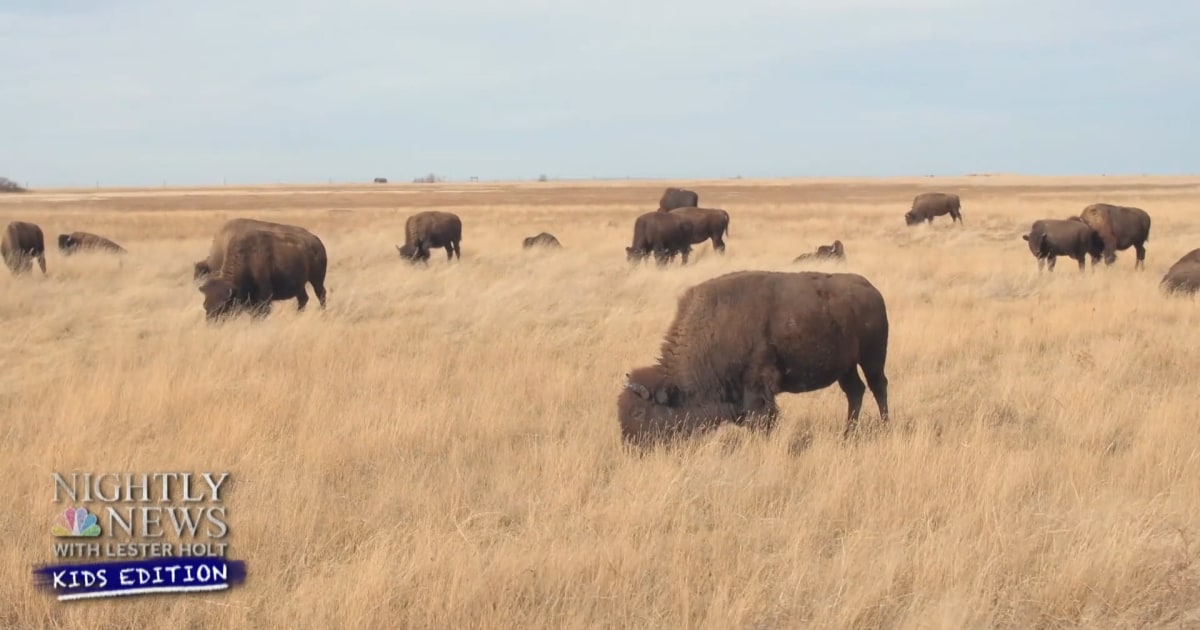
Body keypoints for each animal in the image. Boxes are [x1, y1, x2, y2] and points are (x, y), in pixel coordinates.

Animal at [196, 221, 328, 321]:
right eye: (205, 306)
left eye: (222, 306)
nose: (211, 324)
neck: (246, 259)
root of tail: (316, 241)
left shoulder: (264, 298)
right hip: (300, 286)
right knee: (303, 299)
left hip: (317, 279)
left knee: (321, 294)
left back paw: (323, 314)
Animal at [618, 270, 890, 447]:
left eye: (639, 413)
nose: (632, 446)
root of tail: (871, 289)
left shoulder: (758, 385)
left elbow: (762, 418)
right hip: (846, 366)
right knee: (855, 391)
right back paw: (847, 435)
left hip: (872, 358)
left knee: (878, 387)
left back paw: (885, 426)